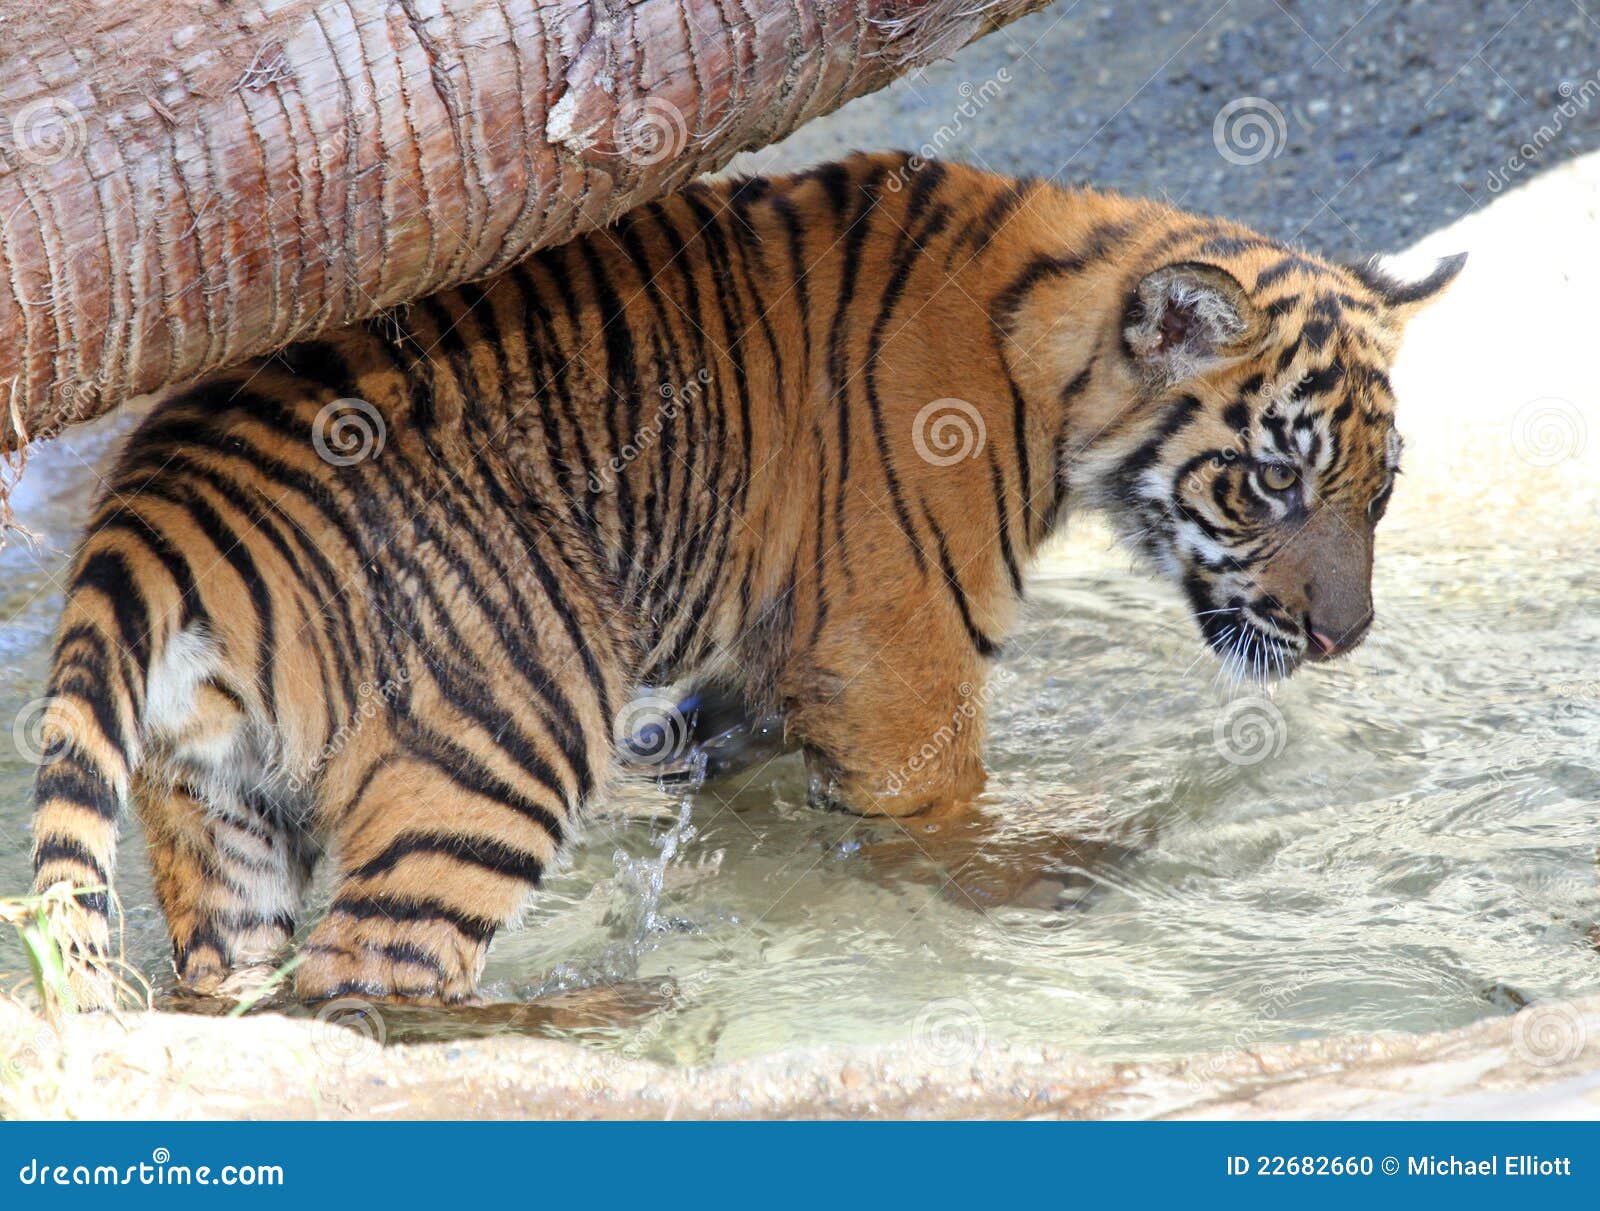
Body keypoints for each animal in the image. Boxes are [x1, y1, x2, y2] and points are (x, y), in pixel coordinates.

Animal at [26, 151, 1462, 1006]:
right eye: (1269, 481)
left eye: (1378, 493)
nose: (1346, 634)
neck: (1047, 358)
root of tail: (154, 496)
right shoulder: (902, 669)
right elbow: (951, 826)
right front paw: (1044, 874)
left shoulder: (769, 656)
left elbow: (711, 754)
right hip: (500, 733)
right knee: (364, 985)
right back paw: (592, 1013)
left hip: (222, 810)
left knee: (241, 986)